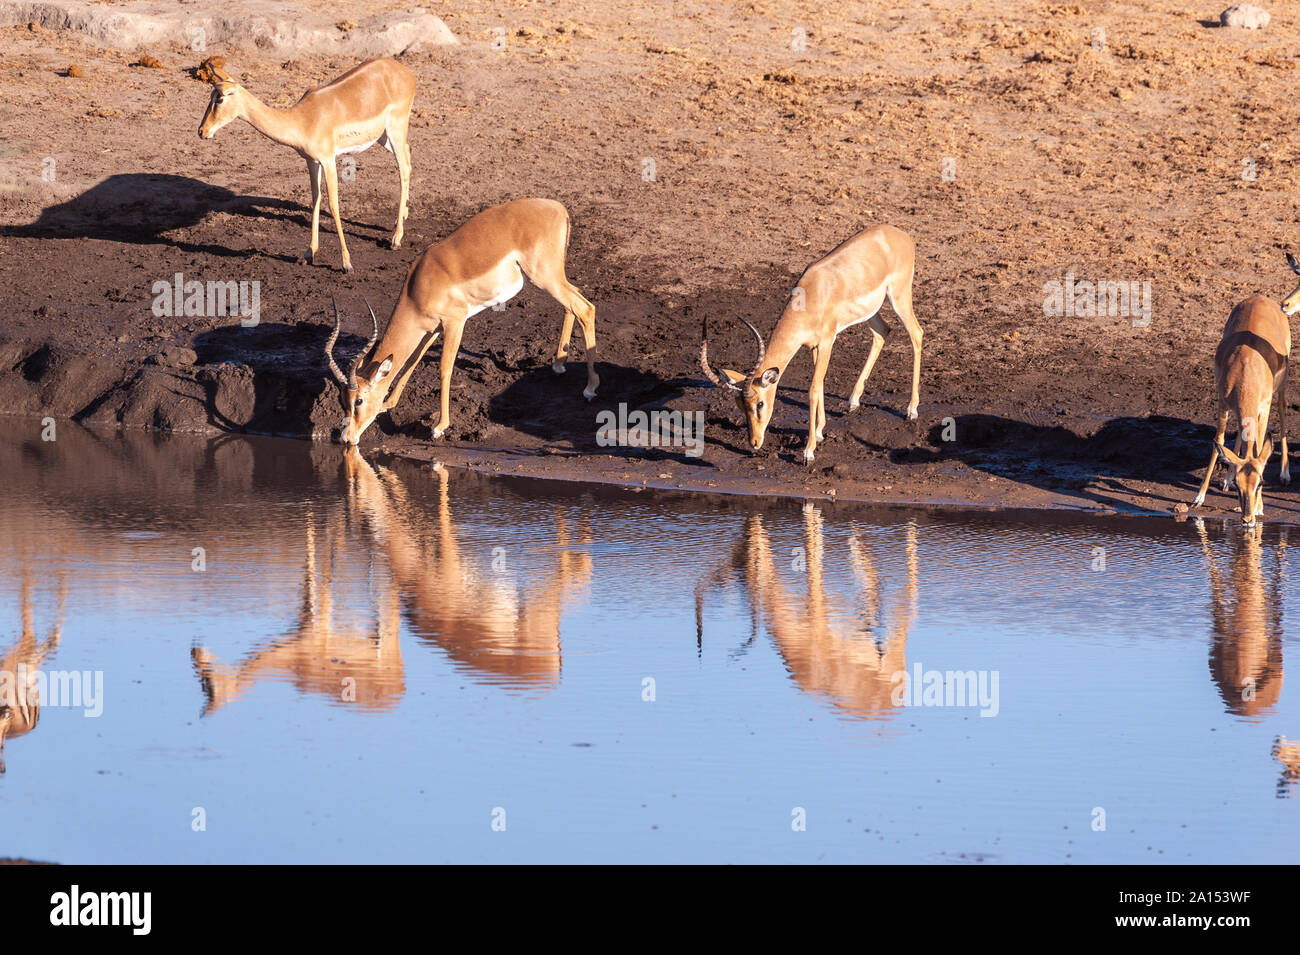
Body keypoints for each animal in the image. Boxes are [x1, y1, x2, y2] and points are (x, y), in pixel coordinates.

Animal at [198, 58, 415, 272]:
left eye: (219, 99)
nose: (201, 131)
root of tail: (405, 71)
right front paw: (308, 253)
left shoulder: (328, 160)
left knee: (403, 168)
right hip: (383, 137)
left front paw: (347, 263)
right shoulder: (312, 161)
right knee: (408, 156)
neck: (302, 120)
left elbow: (333, 204)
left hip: (395, 129)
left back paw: (396, 239)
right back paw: (400, 220)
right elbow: (315, 200)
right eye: (210, 97)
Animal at [326, 198, 599, 446]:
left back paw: (590, 388)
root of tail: (559, 208)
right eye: (342, 400)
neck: (418, 287)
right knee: (573, 302)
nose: (347, 438)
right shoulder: (432, 329)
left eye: (359, 400)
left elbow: (444, 368)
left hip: (544, 277)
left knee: (585, 309)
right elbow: (412, 360)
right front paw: (389, 403)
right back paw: (559, 365)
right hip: (551, 278)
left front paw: (439, 427)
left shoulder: (455, 323)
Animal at [700, 225, 922, 463]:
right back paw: (853, 401)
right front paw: (819, 431)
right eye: (740, 405)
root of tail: (900, 234)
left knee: (917, 334)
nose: (755, 443)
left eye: (759, 403)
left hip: (899, 297)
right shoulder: (813, 347)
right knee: (882, 332)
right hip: (871, 311)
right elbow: (821, 383)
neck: (813, 294)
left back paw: (911, 410)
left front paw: (808, 451)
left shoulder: (827, 342)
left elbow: (813, 389)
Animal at [1191, 260, 1298, 524]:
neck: (1246, 370)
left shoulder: (1263, 408)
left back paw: (1285, 474)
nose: (1247, 519)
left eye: (1260, 483)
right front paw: (1200, 496)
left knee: (1281, 412)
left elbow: (1258, 448)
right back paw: (1226, 477)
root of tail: (1261, 297)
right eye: (1241, 486)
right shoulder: (1223, 402)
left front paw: (1260, 507)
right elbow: (1219, 441)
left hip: (1280, 390)